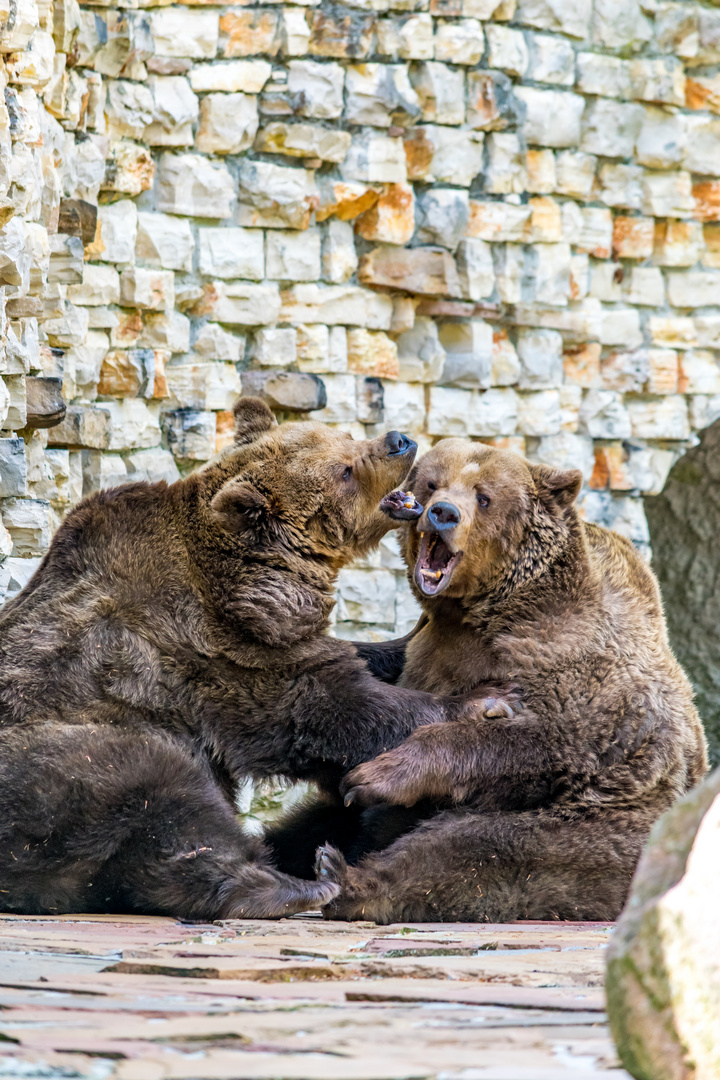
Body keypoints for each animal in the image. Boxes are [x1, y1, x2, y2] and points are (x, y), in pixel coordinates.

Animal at [0, 399, 480, 921]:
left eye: (347, 436)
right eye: (345, 470)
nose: (399, 441)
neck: (256, 585)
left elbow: (356, 657)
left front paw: (406, 638)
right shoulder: (219, 653)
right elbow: (335, 708)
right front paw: (485, 701)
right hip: (64, 759)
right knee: (164, 798)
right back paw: (300, 885)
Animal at [267, 438, 709, 924]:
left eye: (484, 497)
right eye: (432, 482)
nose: (443, 512)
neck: (478, 614)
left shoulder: (576, 663)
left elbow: (547, 737)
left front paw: (378, 774)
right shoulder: (421, 646)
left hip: (607, 831)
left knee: (477, 847)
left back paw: (345, 877)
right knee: (306, 826)